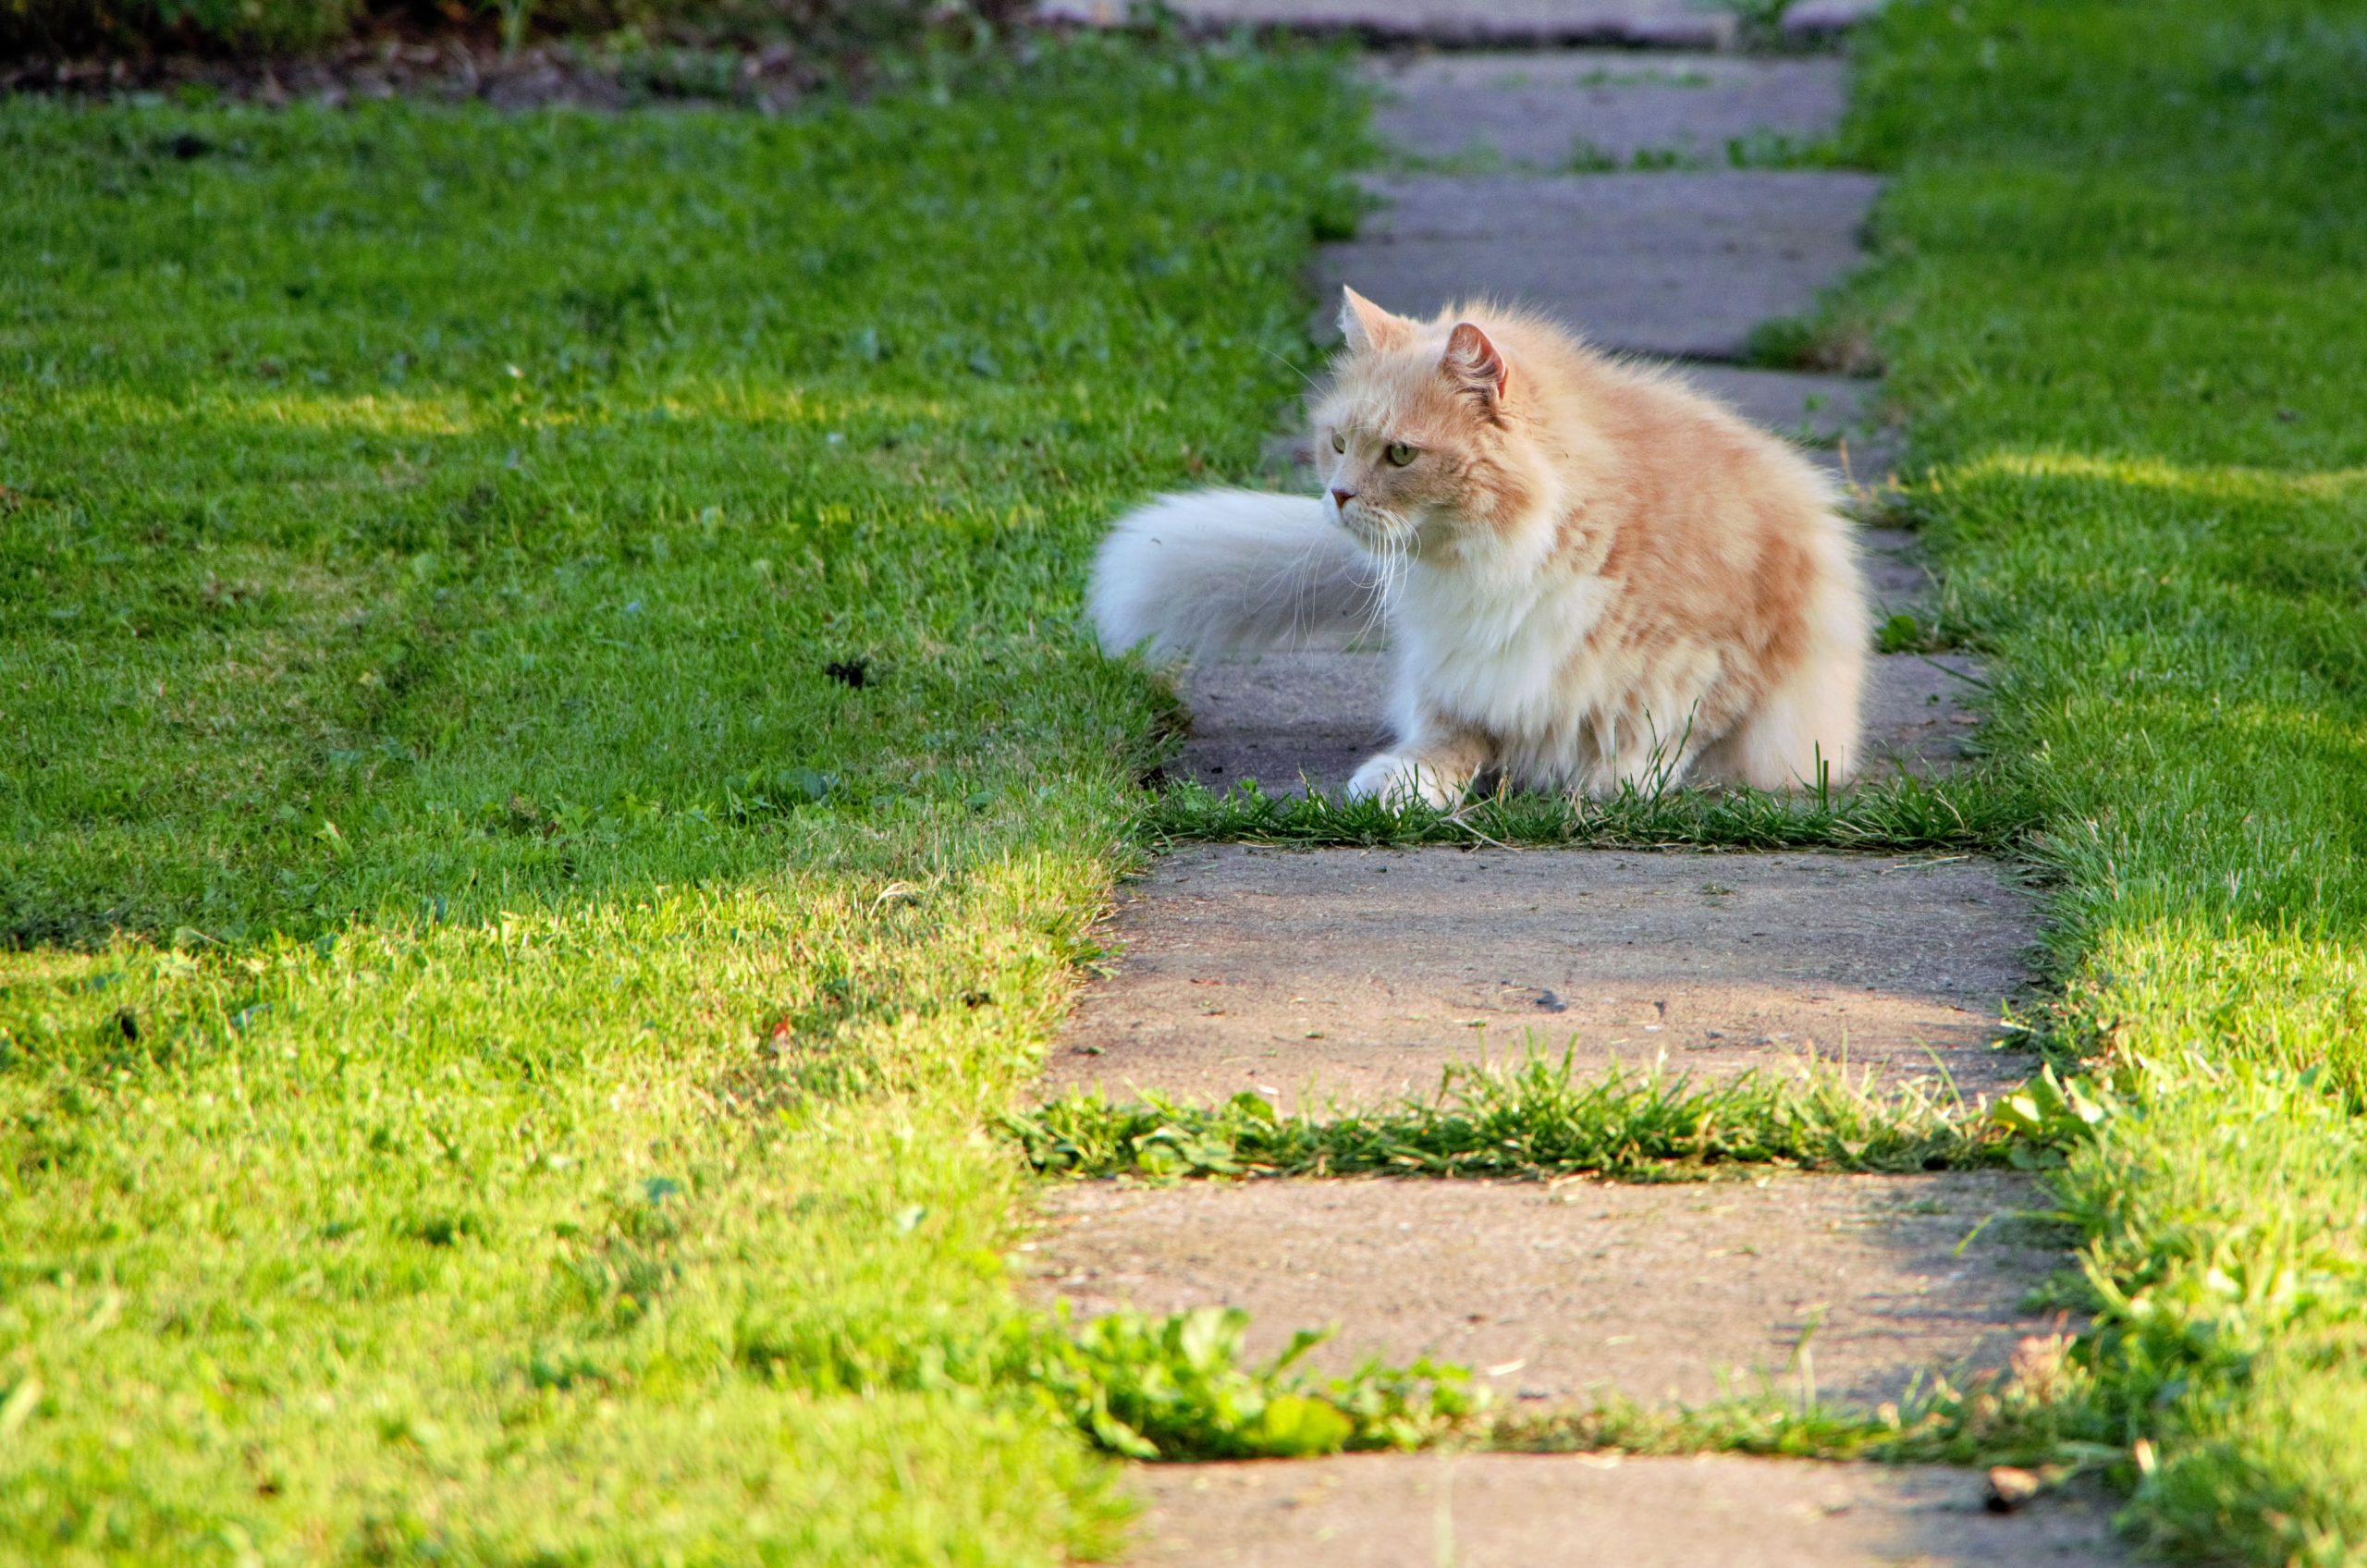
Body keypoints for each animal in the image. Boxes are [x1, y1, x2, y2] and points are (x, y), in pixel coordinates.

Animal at [1088, 288, 1865, 805]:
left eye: (1400, 454)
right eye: (1337, 443)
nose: (1337, 495)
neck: (1500, 561)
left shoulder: (1732, 647)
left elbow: (1666, 727)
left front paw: (1612, 779)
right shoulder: (1456, 672)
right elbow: (1454, 734)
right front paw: (1408, 780)